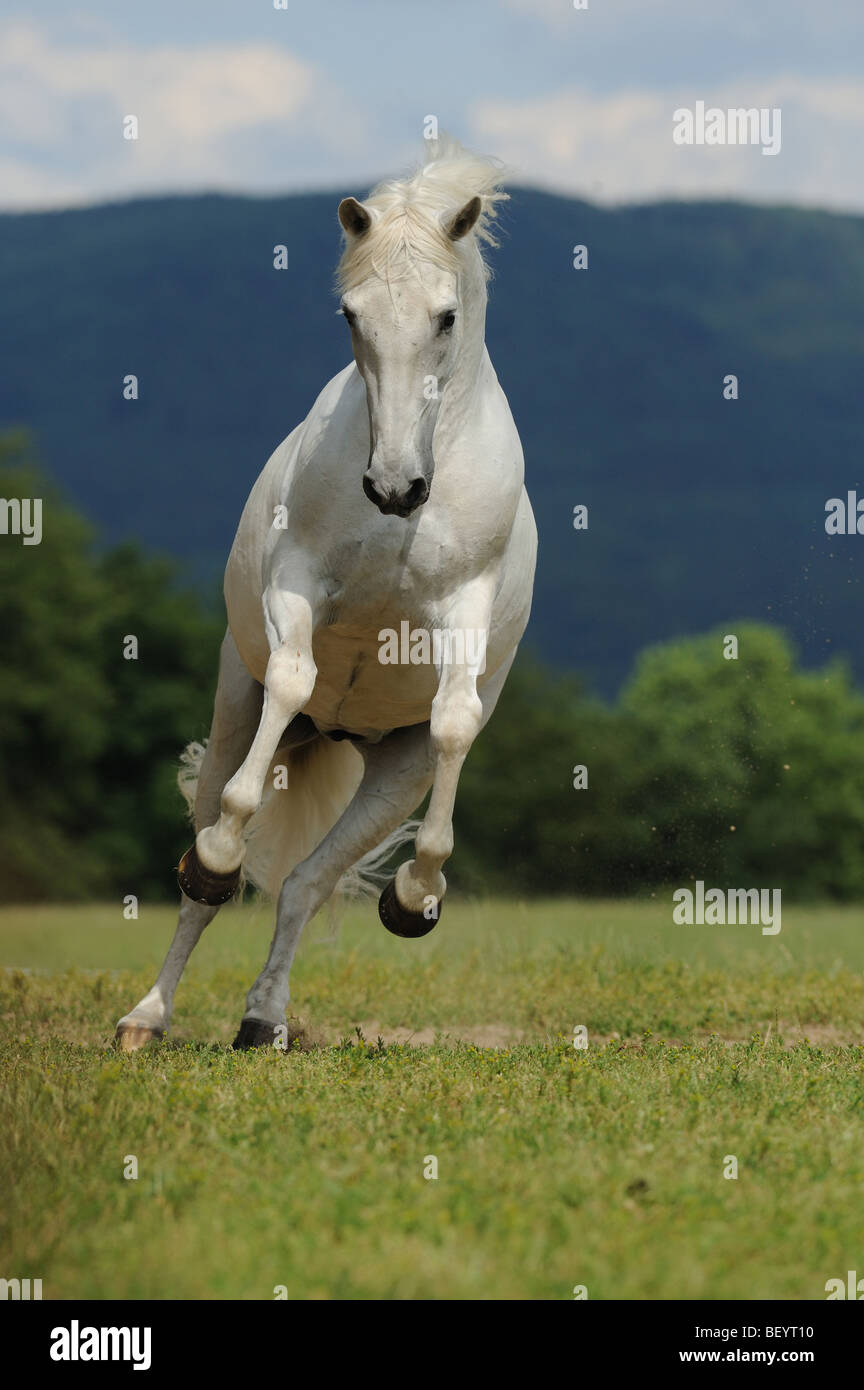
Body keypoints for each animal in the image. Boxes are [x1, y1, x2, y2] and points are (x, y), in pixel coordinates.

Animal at [115, 139, 537, 1051]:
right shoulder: (298, 586)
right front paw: (225, 852)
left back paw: (262, 1020)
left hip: (392, 775)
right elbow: (290, 683)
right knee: (201, 877)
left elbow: (456, 722)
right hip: (231, 709)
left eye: (446, 317)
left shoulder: (464, 608)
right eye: (351, 315)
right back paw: (147, 1015)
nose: (395, 487)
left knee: (306, 882)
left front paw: (416, 898)